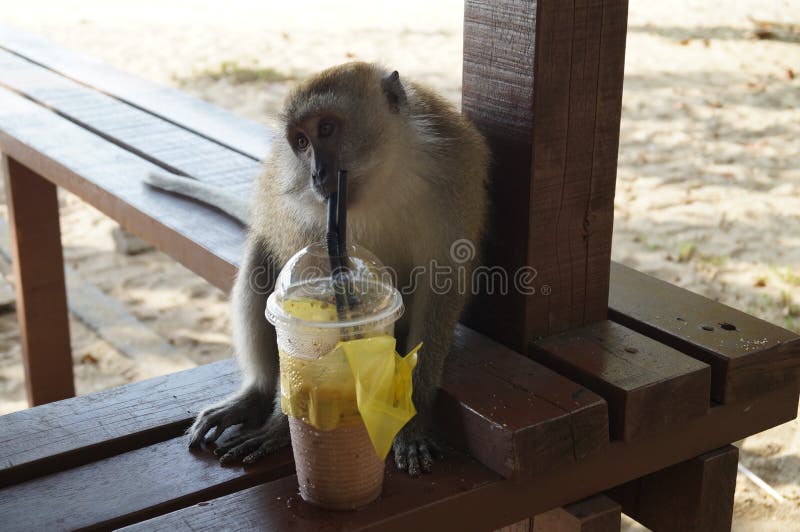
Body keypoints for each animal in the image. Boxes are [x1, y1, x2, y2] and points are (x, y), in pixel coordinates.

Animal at [146, 62, 490, 477]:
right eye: (300, 142)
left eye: (326, 128)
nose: (316, 174)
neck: (385, 175)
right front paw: (283, 421)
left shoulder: (451, 173)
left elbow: (440, 288)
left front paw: (412, 418)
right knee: (260, 259)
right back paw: (257, 393)